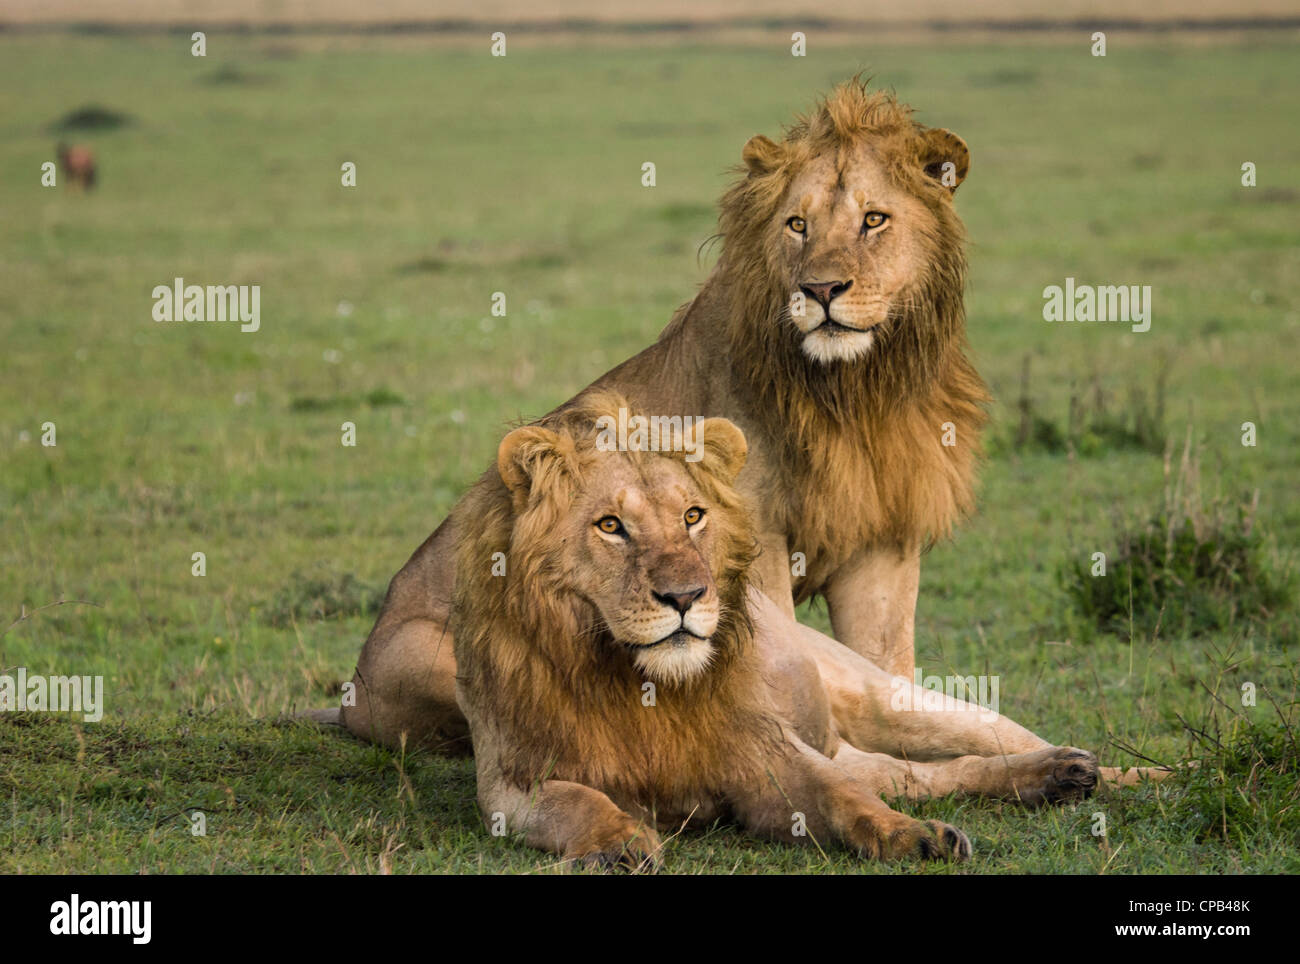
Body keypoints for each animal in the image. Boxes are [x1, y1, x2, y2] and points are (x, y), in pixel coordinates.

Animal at [455, 394, 1105, 868]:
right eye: (610, 526)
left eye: (693, 516)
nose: (685, 597)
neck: (640, 682)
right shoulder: (512, 783)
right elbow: (580, 801)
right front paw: (621, 843)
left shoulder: (765, 754)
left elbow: (846, 799)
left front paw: (913, 837)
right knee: (924, 774)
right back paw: (1058, 780)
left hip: (887, 701)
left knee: (978, 742)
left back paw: (1084, 771)